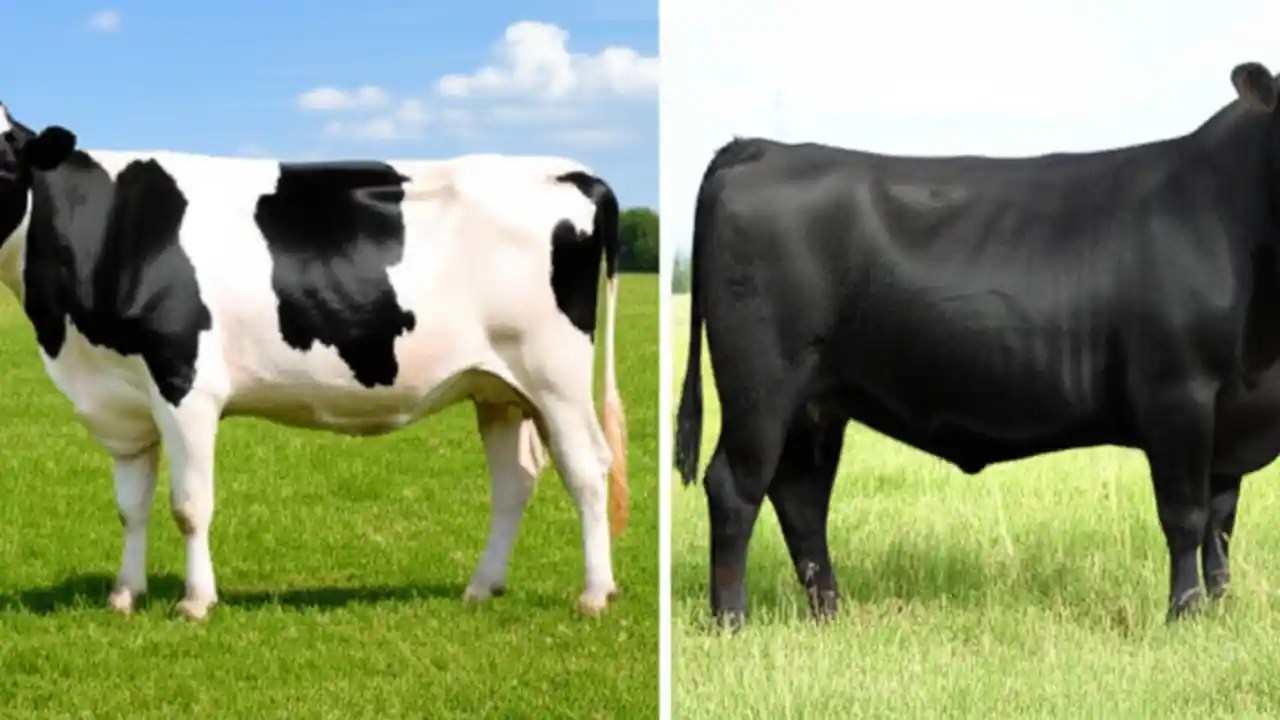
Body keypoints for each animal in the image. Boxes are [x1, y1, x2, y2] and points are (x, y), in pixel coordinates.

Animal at [0, 104, 628, 620]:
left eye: (5, 161)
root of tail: (573, 173)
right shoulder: (122, 400)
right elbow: (131, 508)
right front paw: (124, 596)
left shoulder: (186, 386)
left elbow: (189, 505)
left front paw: (196, 601)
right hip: (498, 387)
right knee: (514, 480)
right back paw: (481, 587)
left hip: (556, 376)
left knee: (588, 468)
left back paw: (595, 593)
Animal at [675, 61, 1280, 628]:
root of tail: (761, 148)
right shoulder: (1177, 391)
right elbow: (1185, 516)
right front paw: (1184, 613)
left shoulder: (1229, 417)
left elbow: (1221, 522)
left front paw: (1220, 606)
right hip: (762, 384)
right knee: (735, 487)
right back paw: (731, 619)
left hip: (817, 402)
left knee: (801, 496)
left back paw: (829, 613)